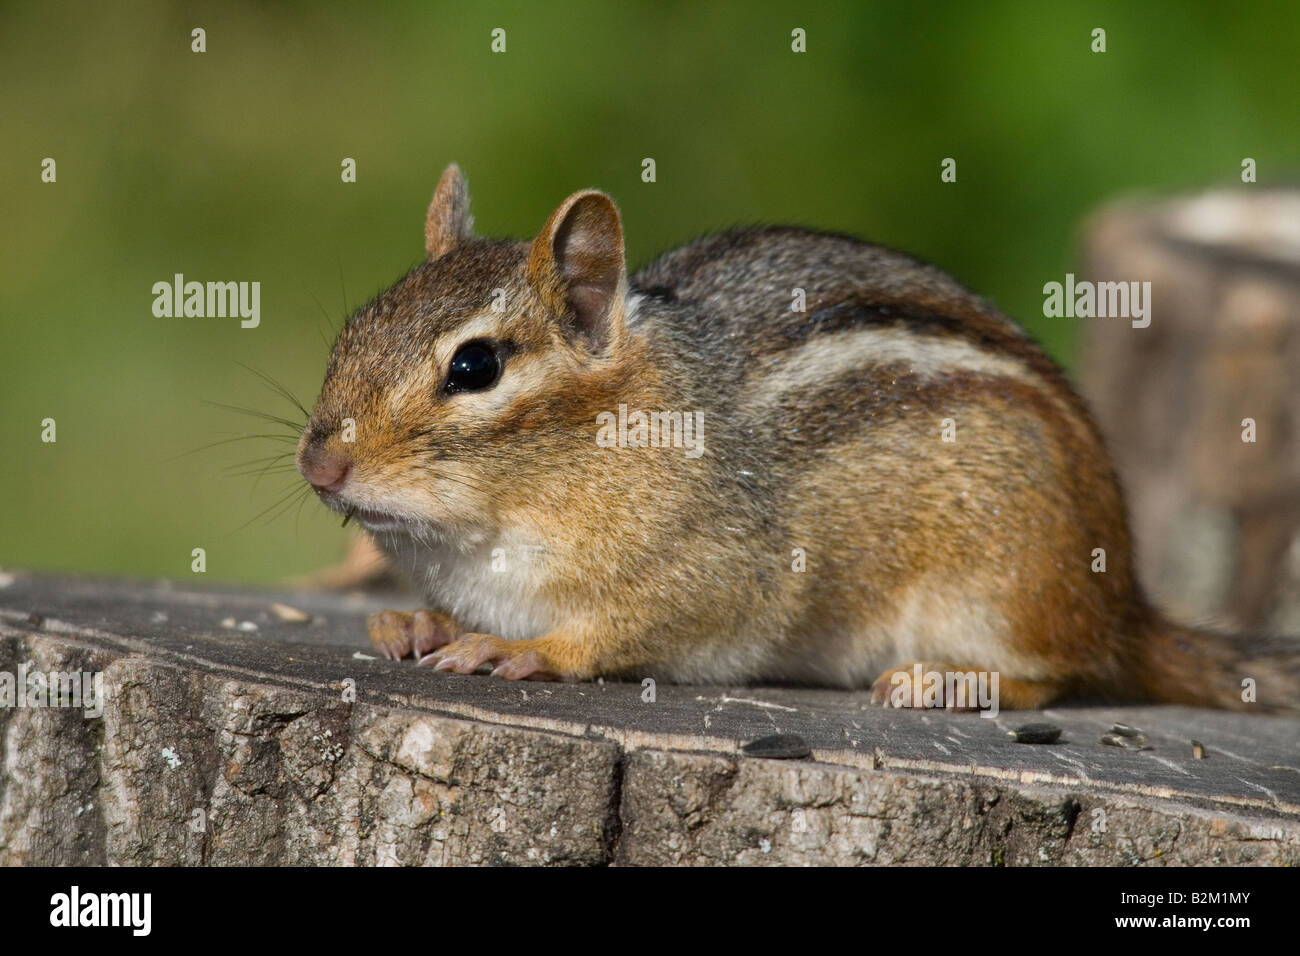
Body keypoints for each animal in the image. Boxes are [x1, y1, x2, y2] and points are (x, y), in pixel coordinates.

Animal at [295, 164, 1298, 712]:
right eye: (353, 327)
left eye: (475, 367)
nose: (320, 461)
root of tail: (1125, 599)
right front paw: (418, 620)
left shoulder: (724, 568)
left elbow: (623, 629)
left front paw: (524, 650)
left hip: (1002, 586)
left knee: (1062, 673)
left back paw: (946, 683)